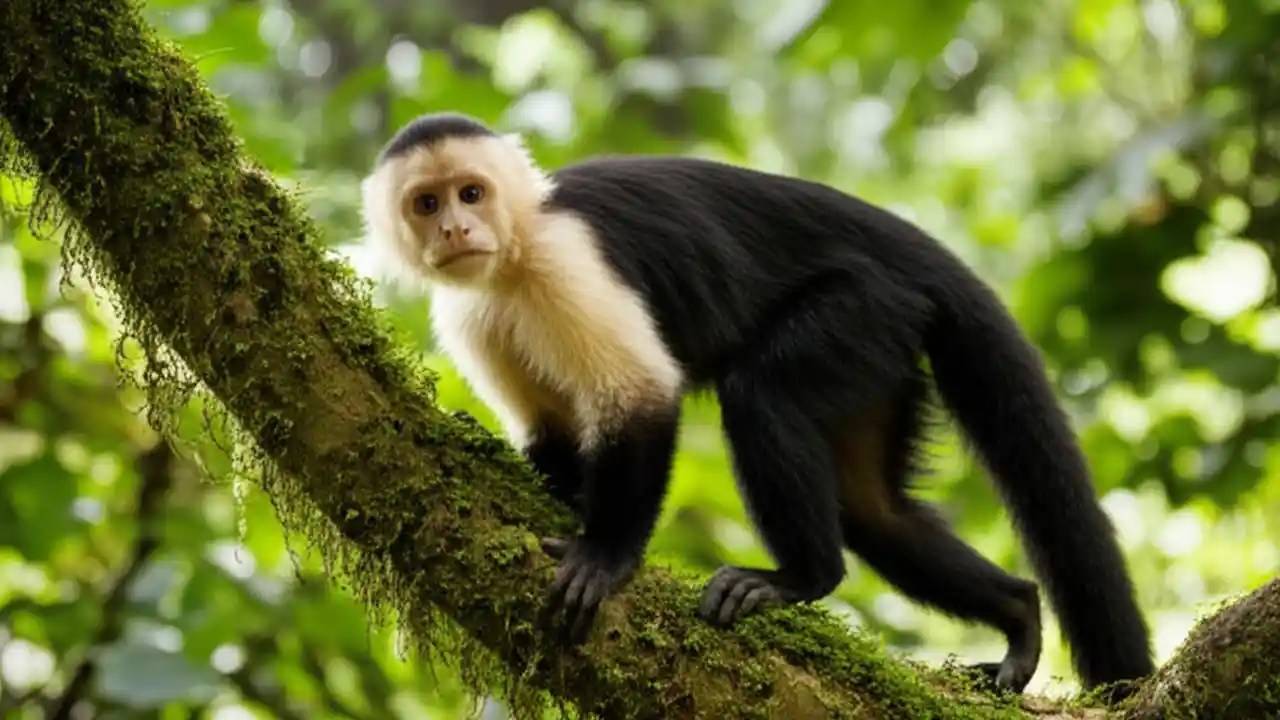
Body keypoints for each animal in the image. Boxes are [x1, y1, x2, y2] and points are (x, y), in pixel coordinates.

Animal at [358, 111, 1155, 695]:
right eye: (426, 204)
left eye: (471, 193)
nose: (456, 230)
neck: (516, 250)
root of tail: (904, 243)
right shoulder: (471, 313)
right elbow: (549, 435)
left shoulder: (566, 258)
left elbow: (642, 397)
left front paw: (604, 556)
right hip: (885, 348)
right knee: (875, 511)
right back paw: (1017, 610)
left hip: (863, 306)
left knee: (762, 397)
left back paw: (802, 579)